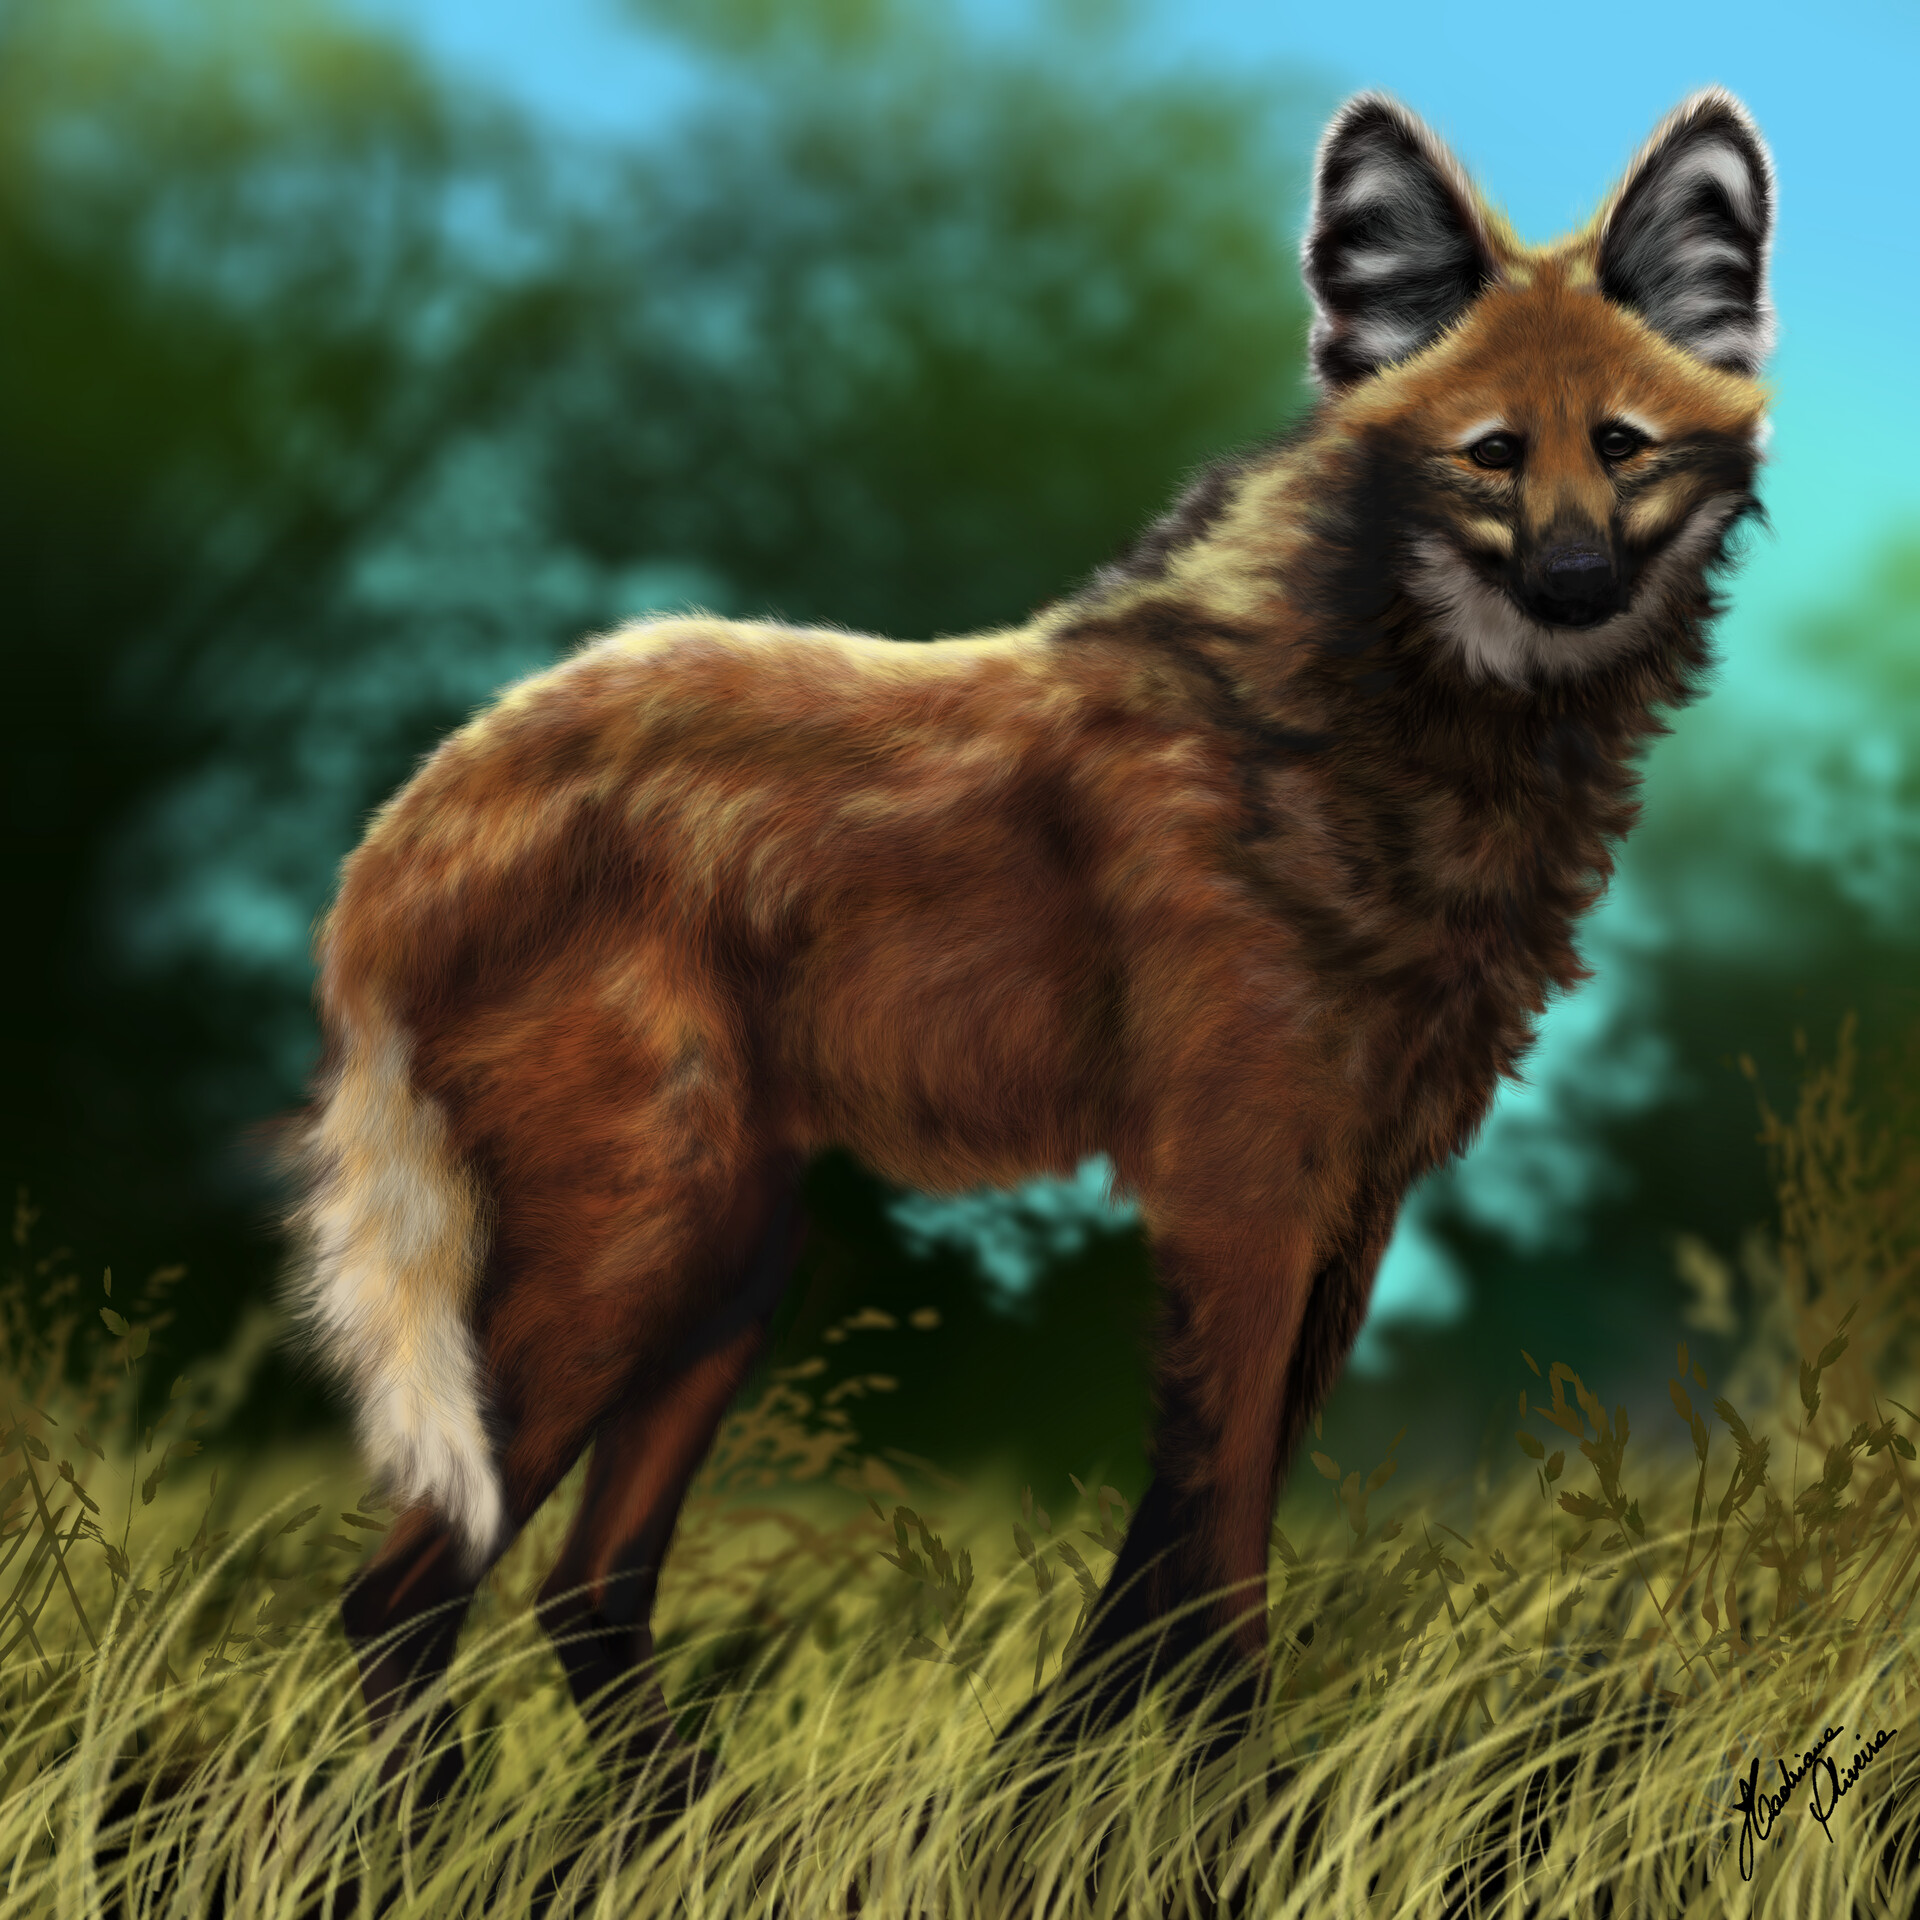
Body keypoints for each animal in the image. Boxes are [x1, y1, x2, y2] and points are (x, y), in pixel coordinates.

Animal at [291, 87, 1773, 1787]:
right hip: (641, 1247)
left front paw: (1054, 1784)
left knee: (585, 1594)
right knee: (408, 1593)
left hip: (735, 1259)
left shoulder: (1347, 1208)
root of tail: (415, 810)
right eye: (1492, 459)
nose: (1574, 581)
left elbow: (1158, 1573)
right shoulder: (1242, 1198)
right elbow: (1217, 1571)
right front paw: (1232, 1804)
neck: (1398, 749)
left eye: (1623, 448)